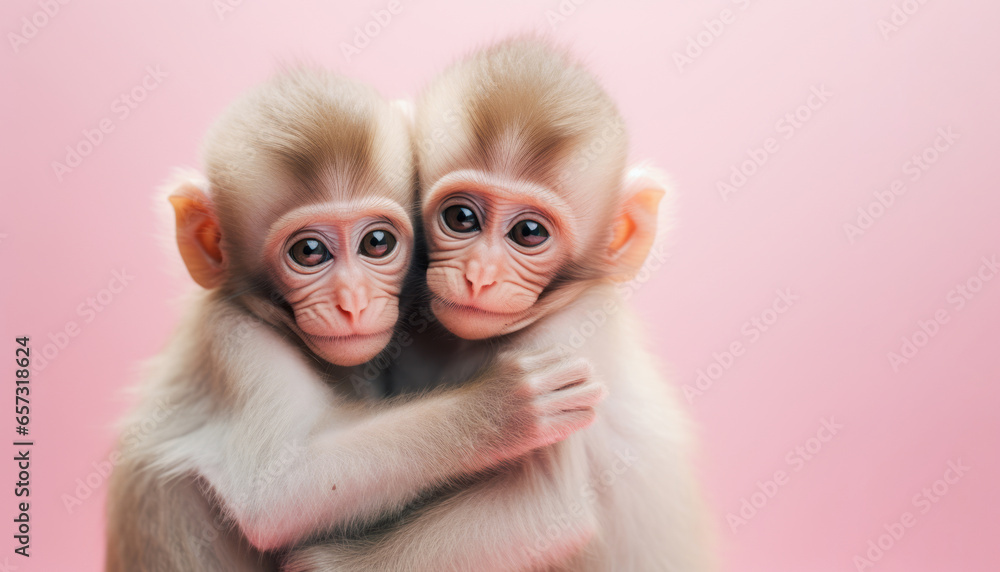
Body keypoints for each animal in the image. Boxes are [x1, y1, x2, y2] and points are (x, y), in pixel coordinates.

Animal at [104, 67, 606, 572]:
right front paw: (500, 406)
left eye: (377, 243)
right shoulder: (231, 336)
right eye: (308, 251)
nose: (354, 302)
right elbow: (275, 489)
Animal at [283, 38, 716, 572]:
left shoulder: (569, 334)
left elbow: (543, 509)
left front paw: (324, 564)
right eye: (461, 218)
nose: (480, 274)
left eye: (529, 232)